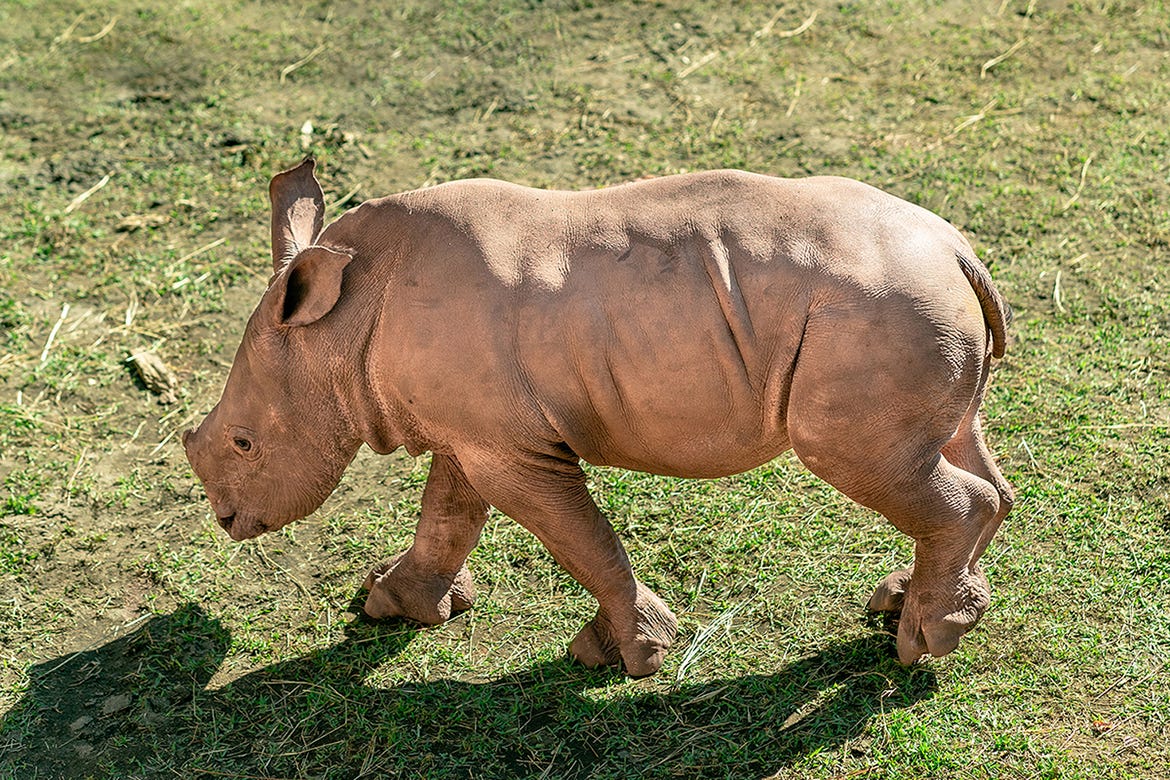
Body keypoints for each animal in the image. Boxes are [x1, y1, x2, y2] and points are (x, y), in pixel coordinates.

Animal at [183, 159, 1014, 674]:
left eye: (245, 442)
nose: (226, 522)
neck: (340, 327)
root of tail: (958, 251)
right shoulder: (473, 432)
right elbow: (447, 514)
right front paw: (395, 601)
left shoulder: (510, 448)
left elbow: (578, 539)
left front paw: (630, 656)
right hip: (915, 314)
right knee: (958, 452)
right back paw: (918, 608)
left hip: (881, 317)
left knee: (865, 460)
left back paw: (920, 642)